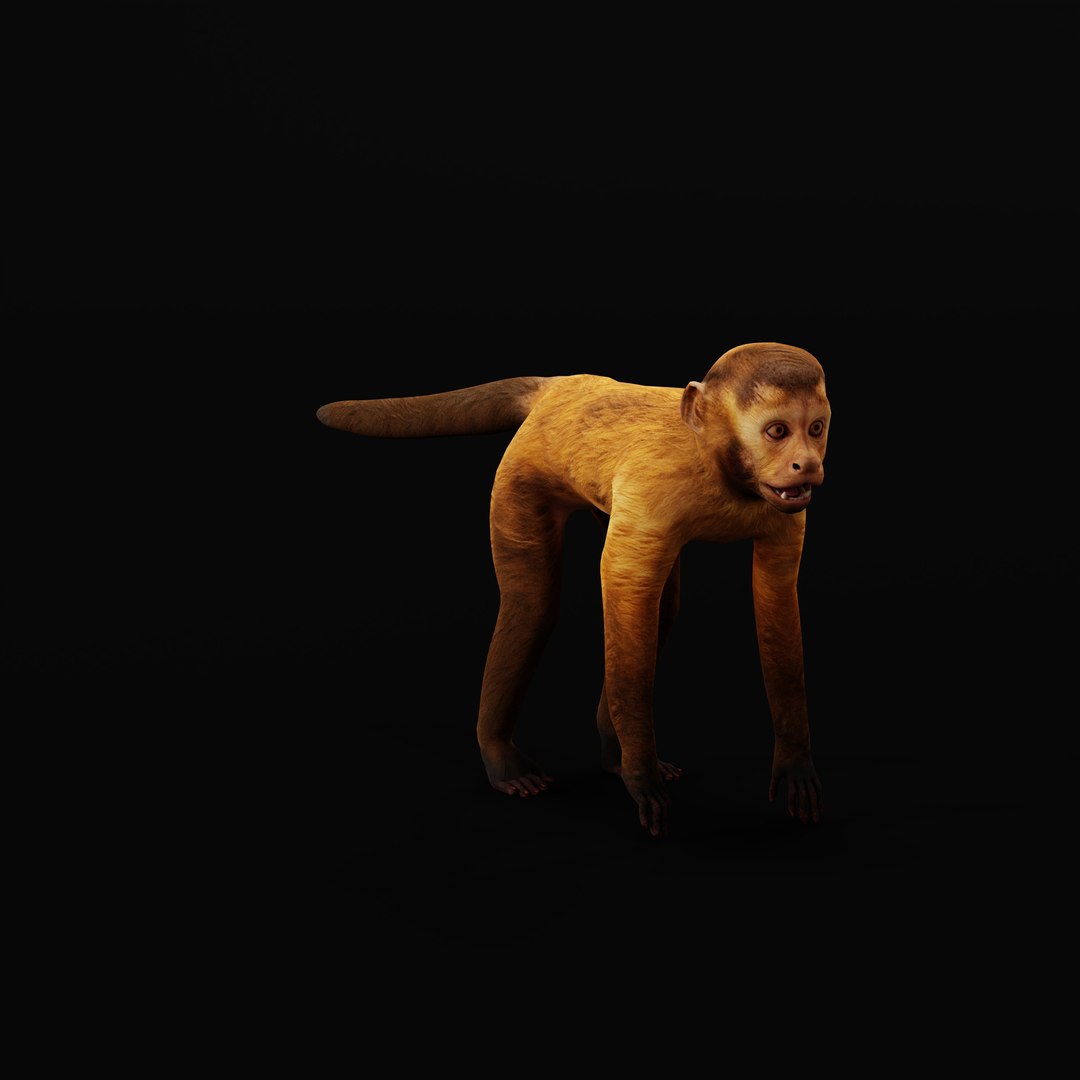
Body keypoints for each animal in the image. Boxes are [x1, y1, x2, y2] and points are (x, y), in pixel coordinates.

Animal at [316, 342, 830, 837]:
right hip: (522, 473)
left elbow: (777, 607)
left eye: (816, 428)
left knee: (662, 608)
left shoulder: (787, 514)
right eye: (778, 431)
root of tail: (564, 383)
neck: (722, 465)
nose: (807, 465)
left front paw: (793, 764)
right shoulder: (651, 496)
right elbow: (625, 599)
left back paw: (610, 755)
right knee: (533, 604)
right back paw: (504, 758)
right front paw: (640, 774)